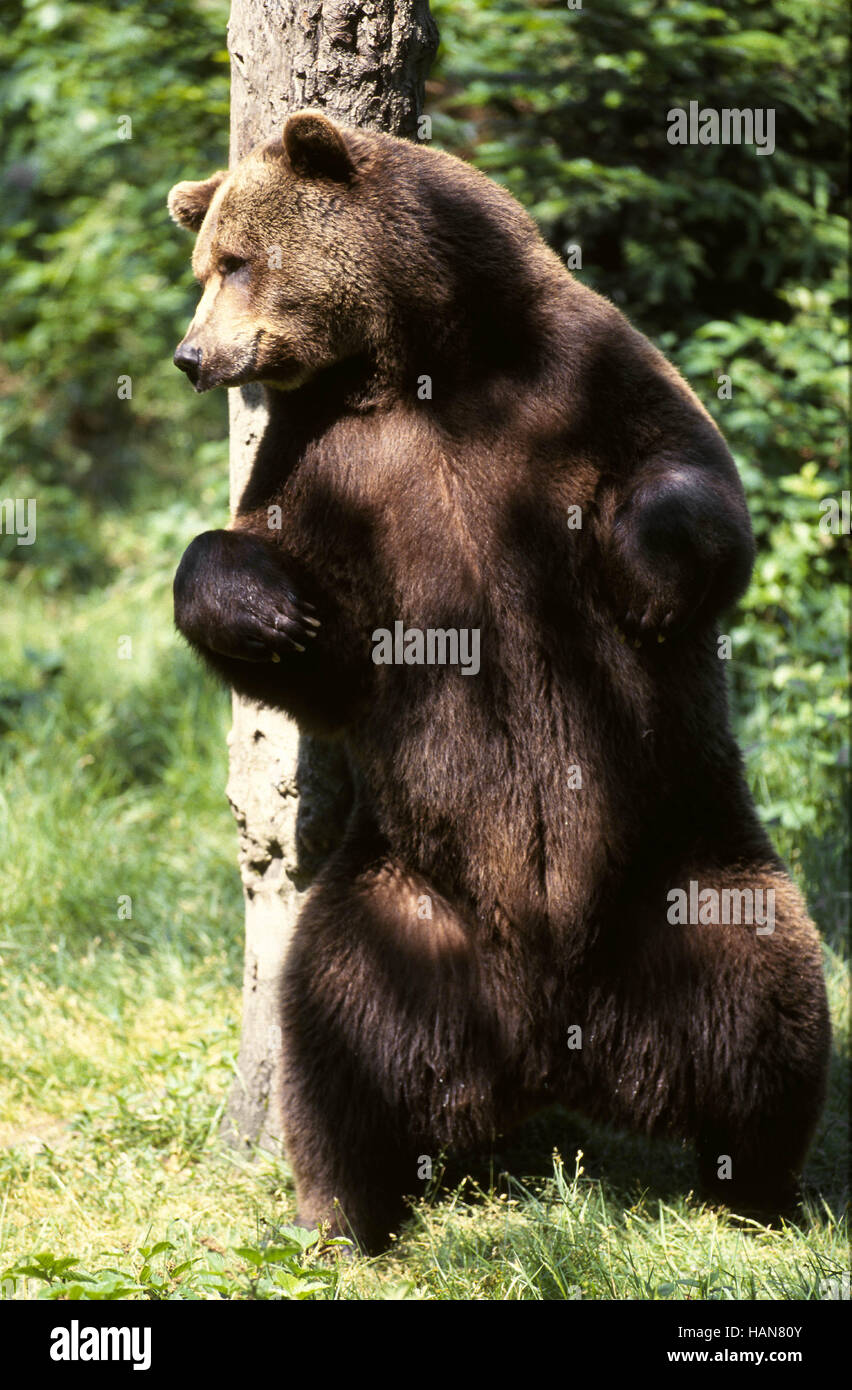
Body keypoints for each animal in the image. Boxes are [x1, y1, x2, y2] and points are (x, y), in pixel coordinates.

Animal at [168, 110, 831, 1253]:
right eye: (208, 263)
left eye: (239, 261)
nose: (191, 354)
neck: (413, 368)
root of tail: (552, 1042)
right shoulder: (333, 466)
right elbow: (296, 612)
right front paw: (268, 610)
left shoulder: (573, 378)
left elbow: (688, 472)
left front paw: (647, 580)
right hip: (402, 904)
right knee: (333, 1035)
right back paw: (344, 1212)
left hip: (685, 862)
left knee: (771, 997)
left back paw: (758, 1194)